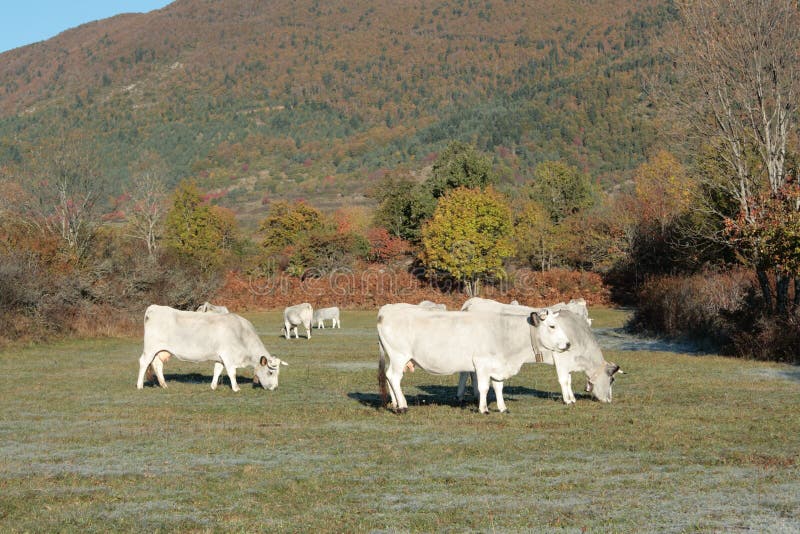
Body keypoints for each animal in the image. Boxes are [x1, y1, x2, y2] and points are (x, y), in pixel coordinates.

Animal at [136, 305, 288, 391]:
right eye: (270, 372)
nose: (275, 388)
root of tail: (154, 308)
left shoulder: (220, 357)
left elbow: (217, 371)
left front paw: (213, 386)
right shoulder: (228, 356)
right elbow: (232, 372)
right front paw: (236, 388)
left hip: (160, 351)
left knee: (157, 365)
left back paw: (164, 385)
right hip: (150, 348)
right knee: (144, 362)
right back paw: (139, 385)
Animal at [377, 304, 572, 414]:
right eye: (552, 326)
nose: (568, 344)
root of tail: (385, 311)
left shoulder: (498, 365)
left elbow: (498, 387)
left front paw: (502, 408)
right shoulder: (482, 363)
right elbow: (484, 387)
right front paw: (483, 409)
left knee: (390, 378)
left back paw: (395, 404)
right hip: (399, 355)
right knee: (394, 377)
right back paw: (403, 406)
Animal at [459, 298, 620, 404]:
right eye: (611, 380)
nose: (609, 400)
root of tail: (472, 302)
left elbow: (569, 379)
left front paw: (572, 398)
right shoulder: (561, 357)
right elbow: (564, 380)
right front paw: (567, 400)